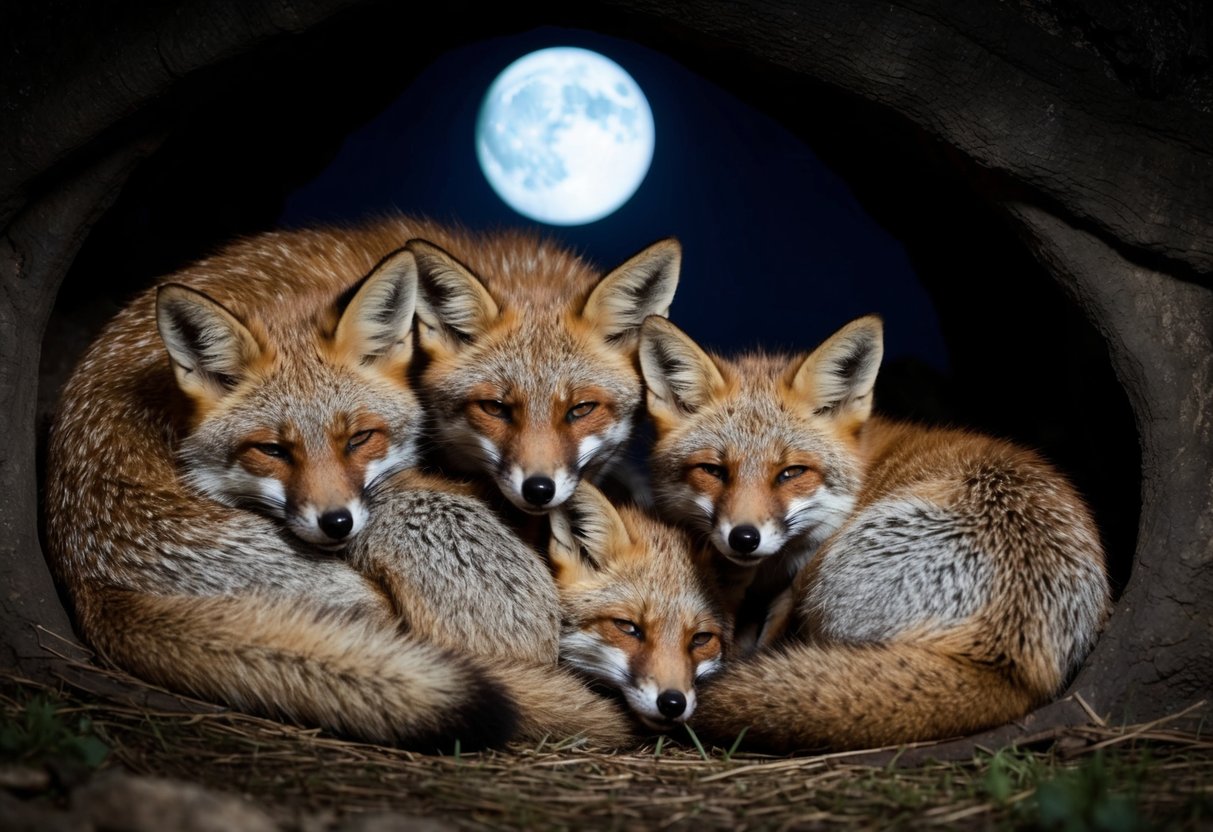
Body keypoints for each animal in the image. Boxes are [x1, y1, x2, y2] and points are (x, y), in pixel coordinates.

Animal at [637, 313, 1113, 752]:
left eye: (791, 473)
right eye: (713, 471)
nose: (744, 537)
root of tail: (1010, 657)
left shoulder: (795, 585)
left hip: (823, 585)